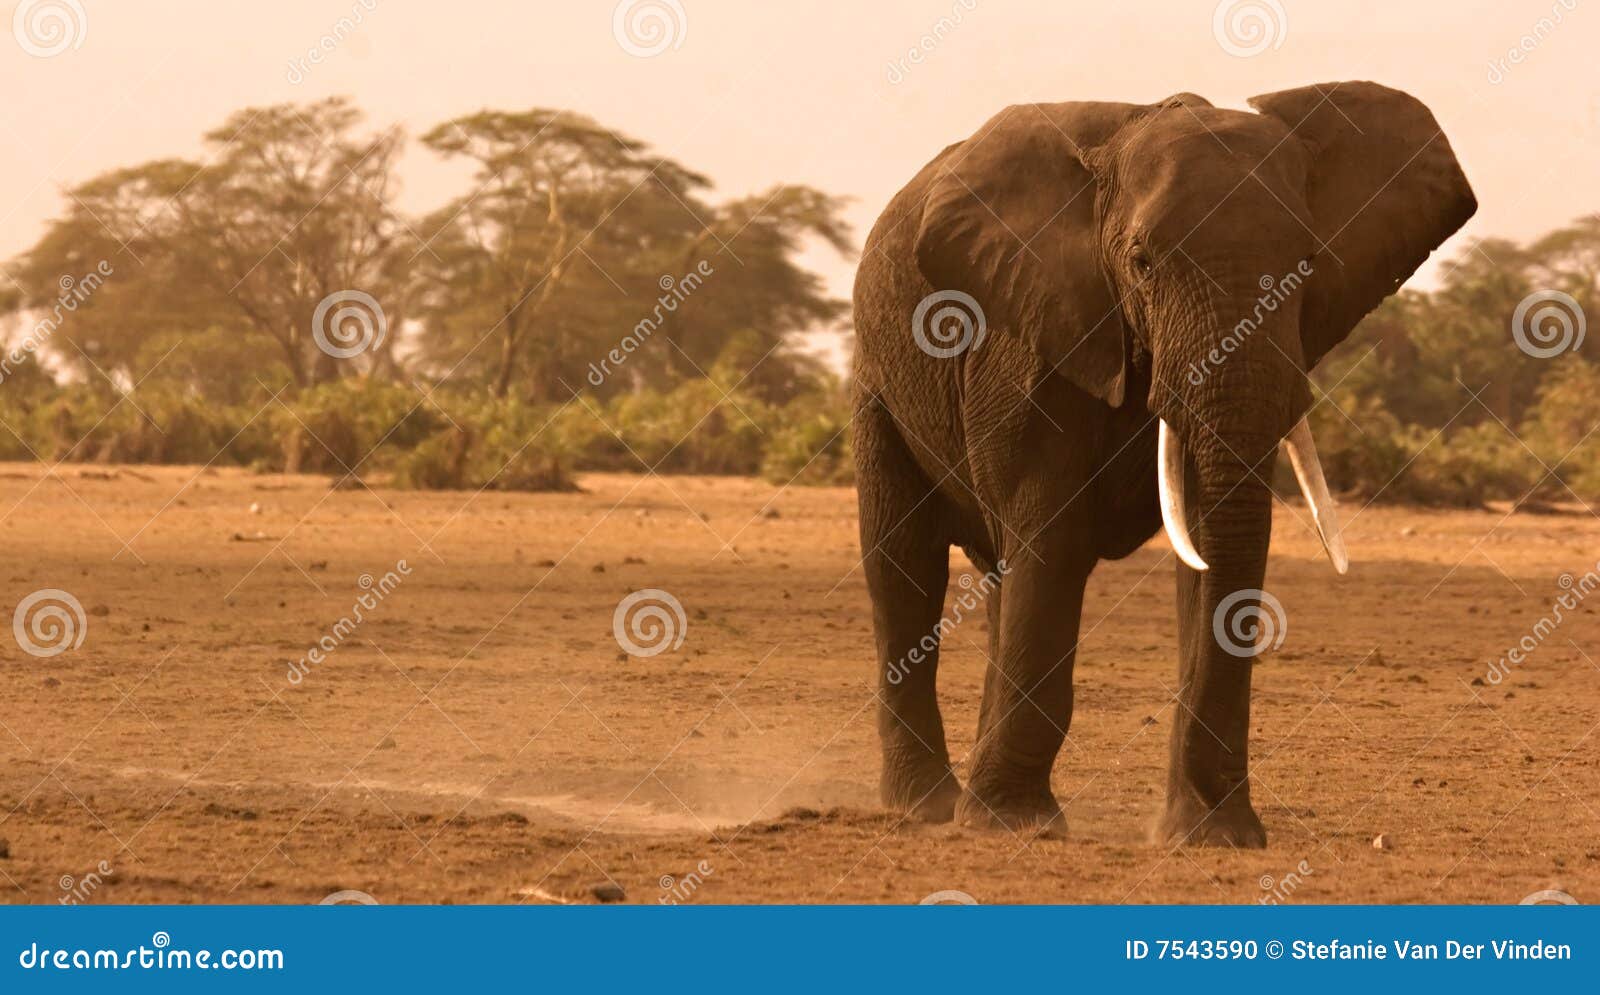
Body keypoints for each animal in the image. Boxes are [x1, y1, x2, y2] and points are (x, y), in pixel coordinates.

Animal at [851, 81, 1475, 847]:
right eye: (1142, 261)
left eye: (1308, 263)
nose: (1226, 821)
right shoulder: (1029, 337)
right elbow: (1053, 540)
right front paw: (1015, 824)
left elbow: (1207, 541)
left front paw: (1209, 835)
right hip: (878, 381)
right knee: (903, 565)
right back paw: (929, 806)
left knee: (998, 573)